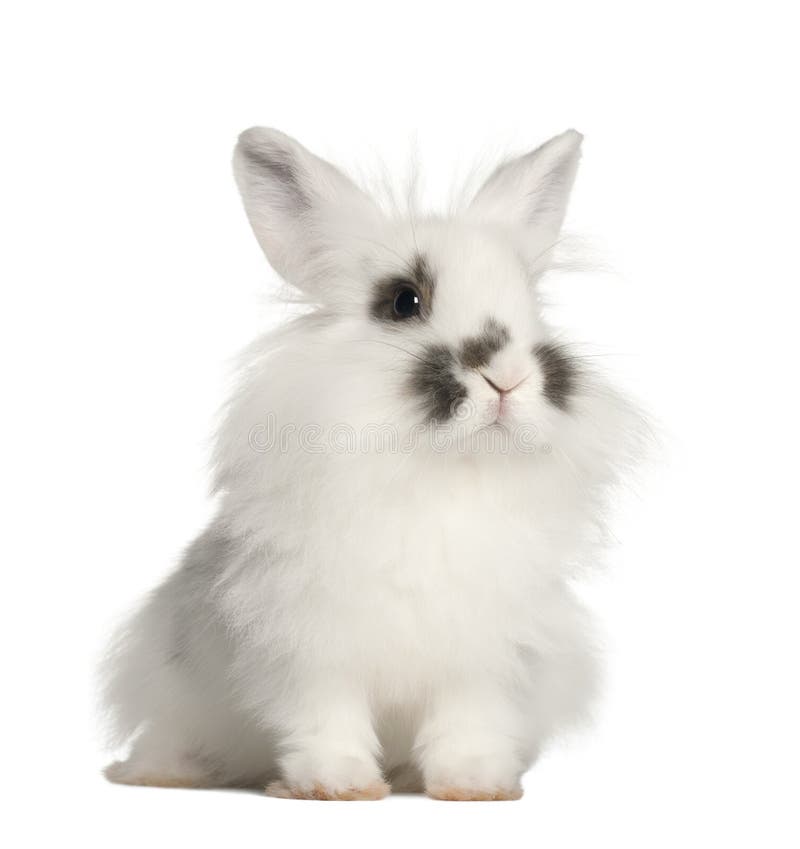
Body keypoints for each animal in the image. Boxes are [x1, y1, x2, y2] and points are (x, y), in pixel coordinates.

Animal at [100, 127, 642, 801]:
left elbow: (468, 723)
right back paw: (160, 774)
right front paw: (337, 785)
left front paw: (475, 785)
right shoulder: (312, 646)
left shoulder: (482, 657)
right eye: (403, 301)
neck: (439, 471)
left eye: (531, 306)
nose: (509, 377)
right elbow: (326, 719)